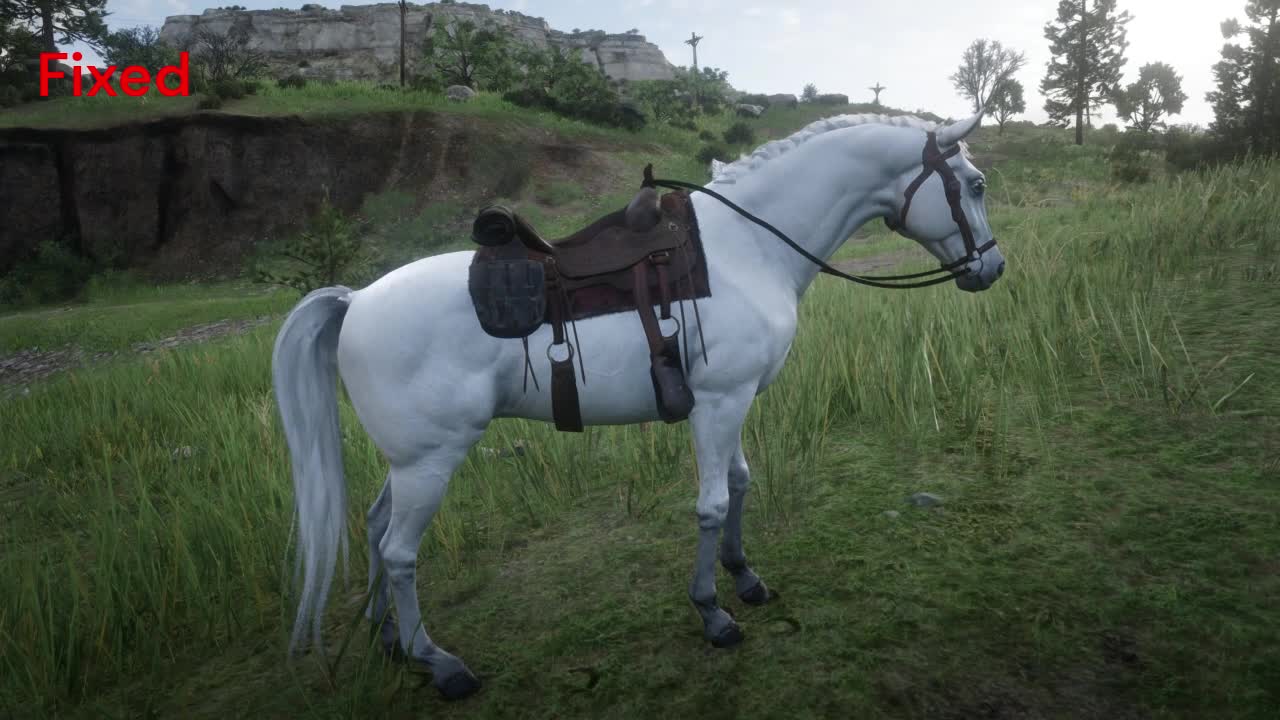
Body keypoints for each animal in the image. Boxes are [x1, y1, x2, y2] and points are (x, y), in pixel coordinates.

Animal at [272, 111, 1006, 700]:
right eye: (974, 185)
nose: (992, 269)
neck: (746, 249)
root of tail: (355, 300)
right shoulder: (718, 401)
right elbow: (712, 504)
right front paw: (712, 612)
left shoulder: (731, 399)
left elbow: (741, 484)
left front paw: (746, 578)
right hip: (430, 461)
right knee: (399, 552)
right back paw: (440, 662)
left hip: (411, 461)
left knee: (373, 527)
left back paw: (389, 639)